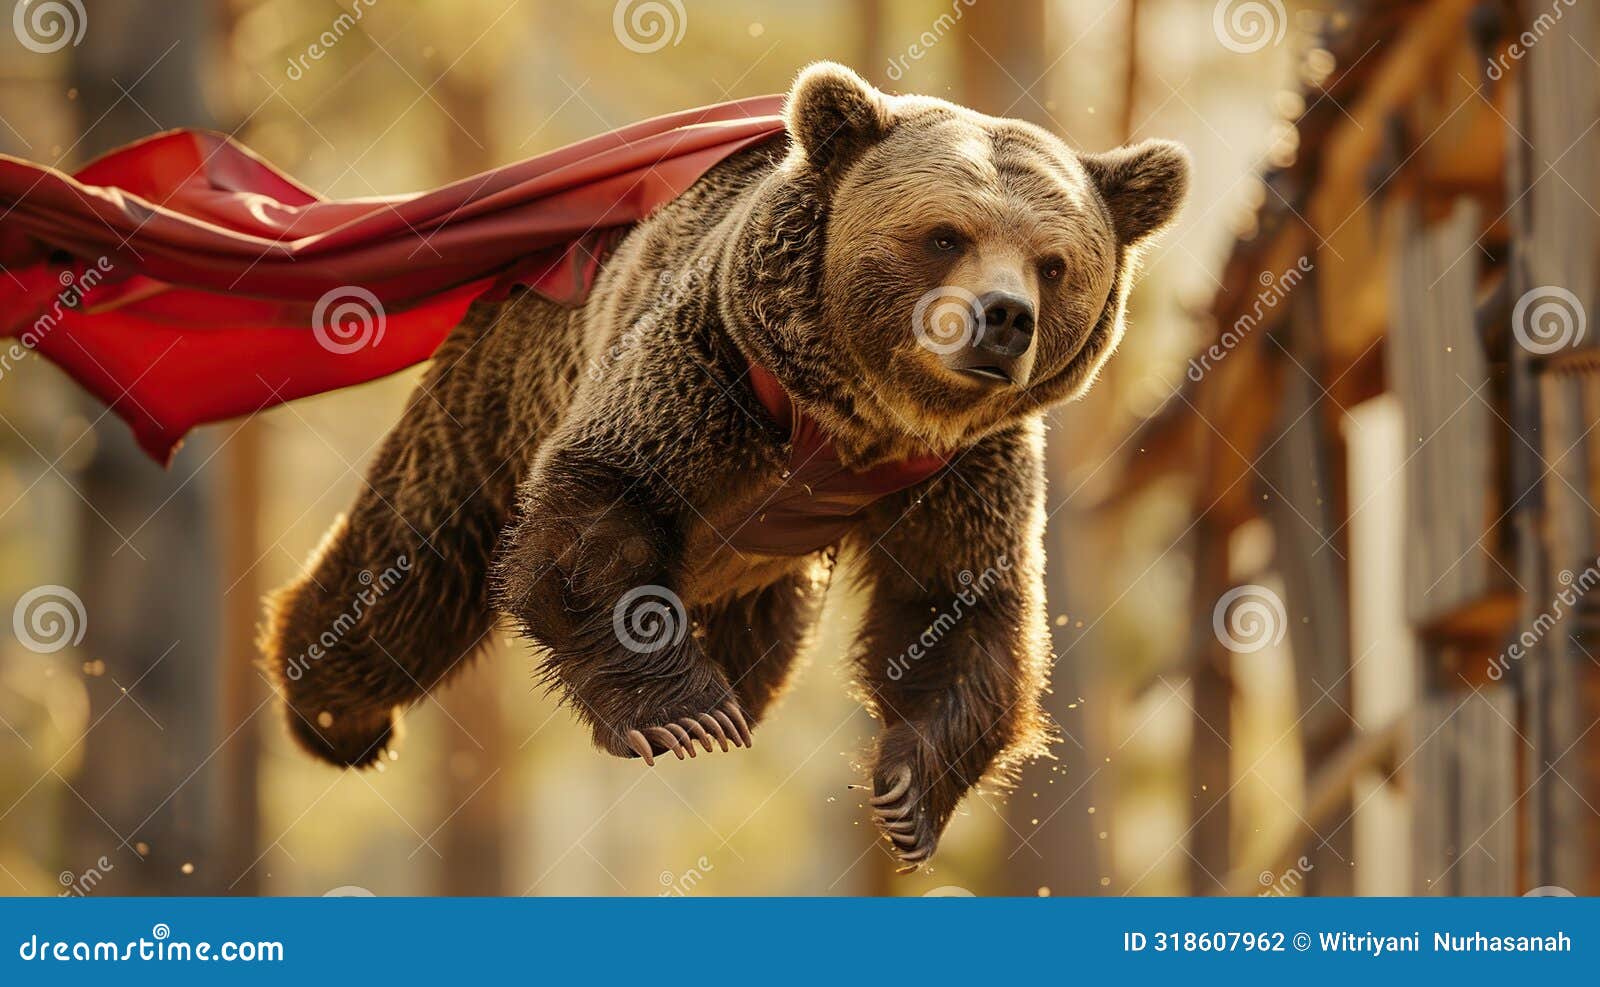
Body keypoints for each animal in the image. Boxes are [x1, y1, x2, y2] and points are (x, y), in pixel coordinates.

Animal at [259, 62, 1189, 870]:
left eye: (1055, 262)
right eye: (943, 234)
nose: (1003, 319)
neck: (859, 420)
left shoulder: (960, 468)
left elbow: (954, 602)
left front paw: (909, 795)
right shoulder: (714, 367)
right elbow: (605, 510)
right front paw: (685, 718)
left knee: (764, 636)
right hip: (501, 387)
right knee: (409, 574)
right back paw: (333, 711)